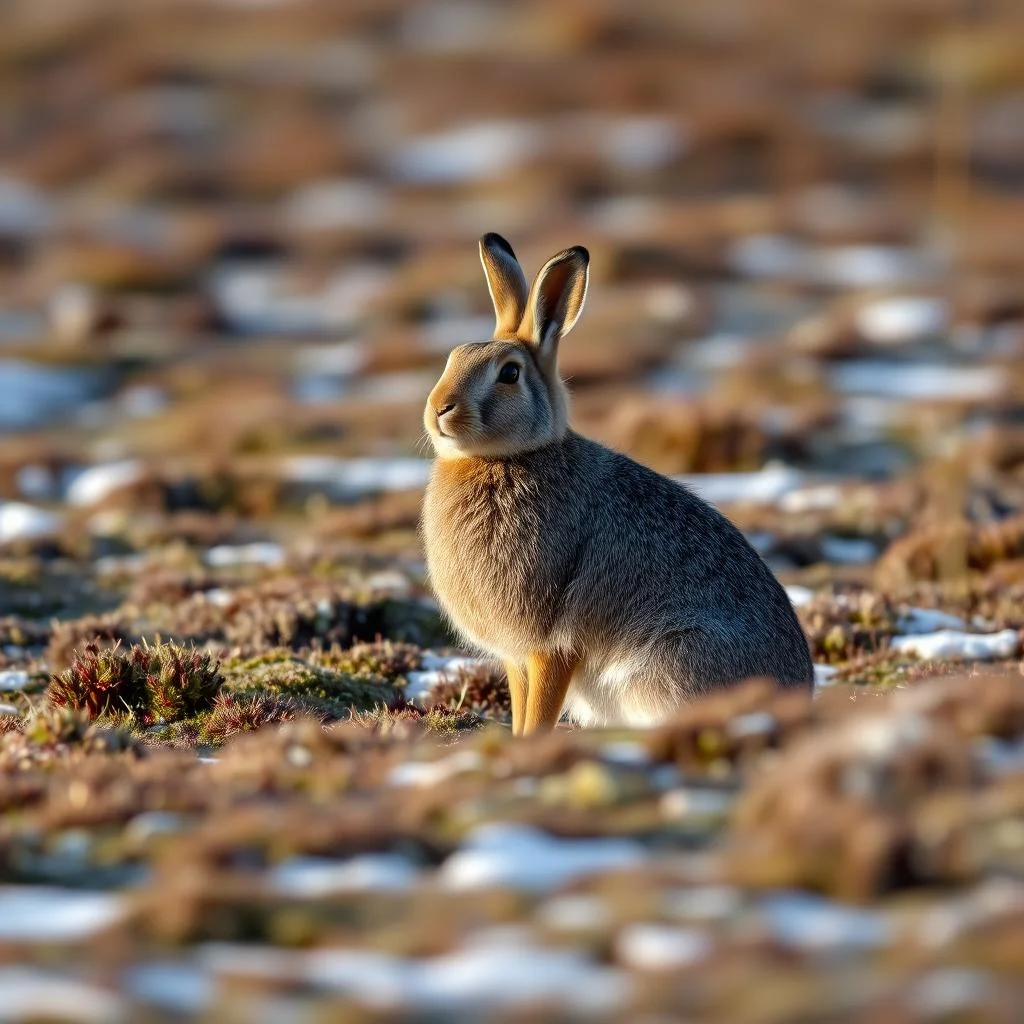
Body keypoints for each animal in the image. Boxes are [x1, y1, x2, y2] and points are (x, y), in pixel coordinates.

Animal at [420, 232, 814, 735]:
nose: (440, 409)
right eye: (452, 358)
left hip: (672, 664)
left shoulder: (550, 646)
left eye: (509, 373)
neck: (505, 459)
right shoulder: (515, 655)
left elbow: (539, 712)